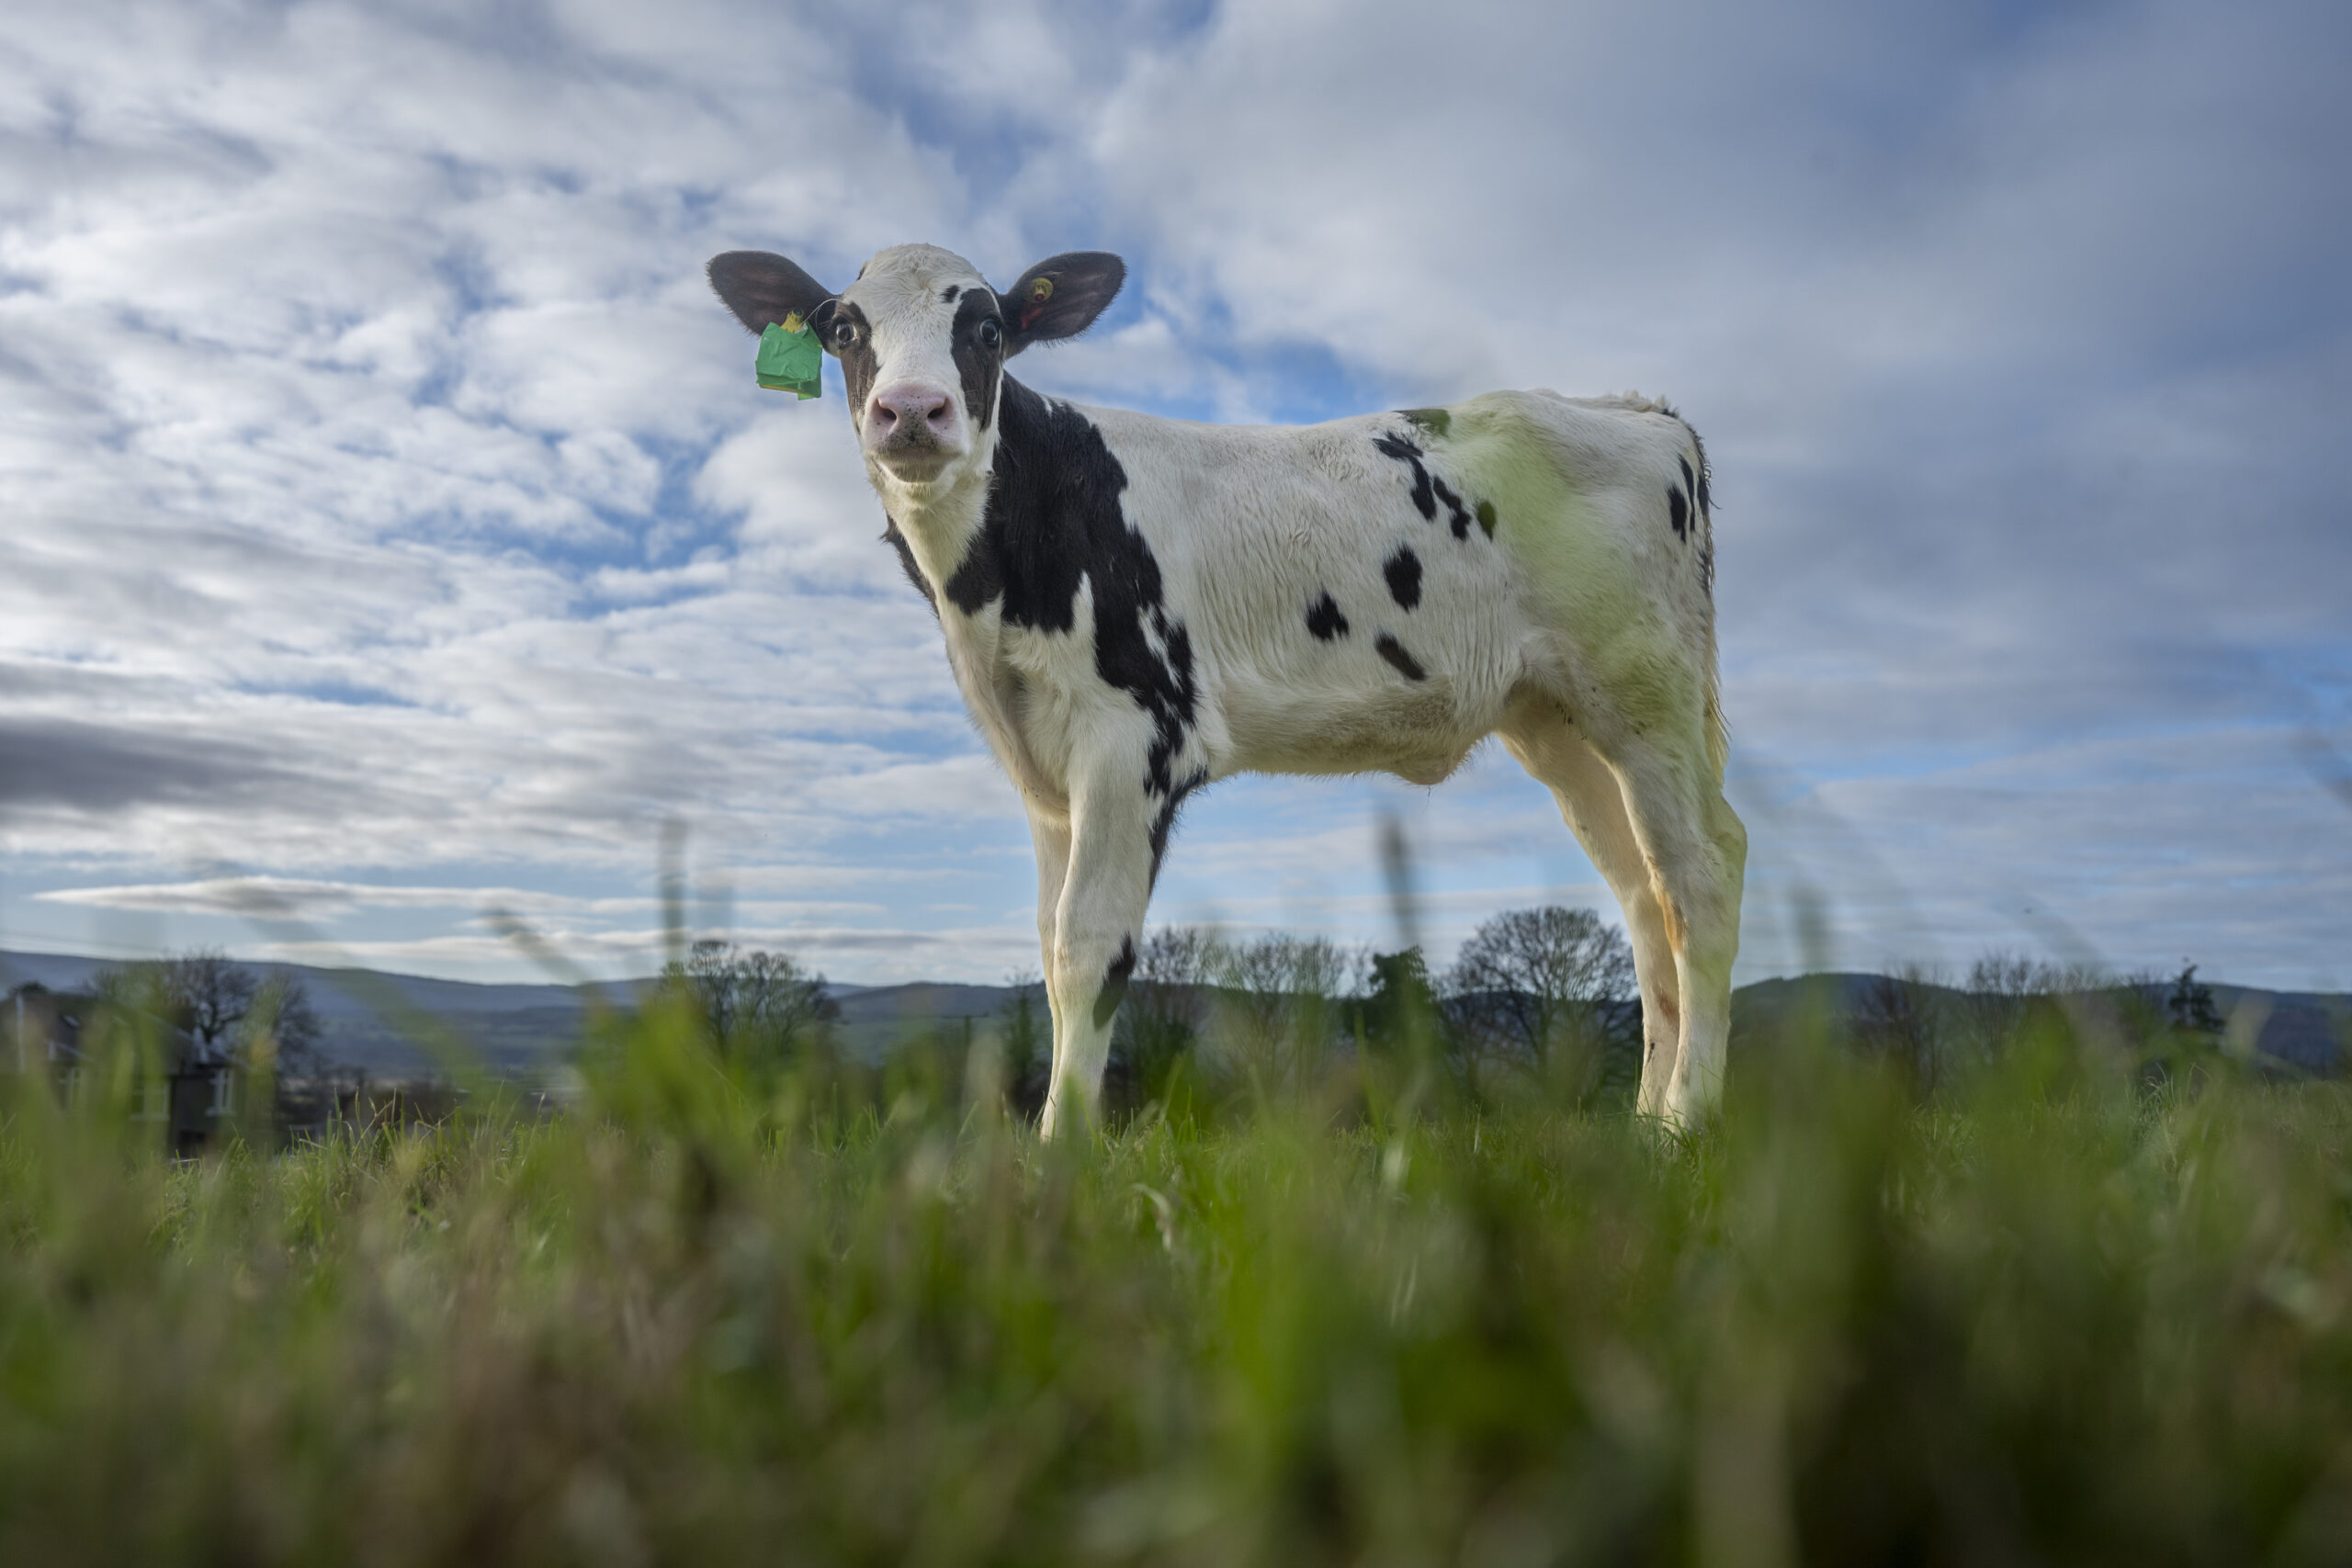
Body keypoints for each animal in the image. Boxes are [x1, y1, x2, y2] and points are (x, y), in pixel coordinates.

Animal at [707, 243, 1746, 1135]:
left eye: (991, 329)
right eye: (844, 328)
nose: (914, 411)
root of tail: (1634, 409)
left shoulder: (1135, 740)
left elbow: (1088, 947)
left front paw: (1061, 1158)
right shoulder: (1044, 774)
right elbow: (1046, 946)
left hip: (1646, 689)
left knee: (1704, 869)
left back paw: (1688, 1124)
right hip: (1560, 719)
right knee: (1643, 893)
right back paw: (1642, 1129)